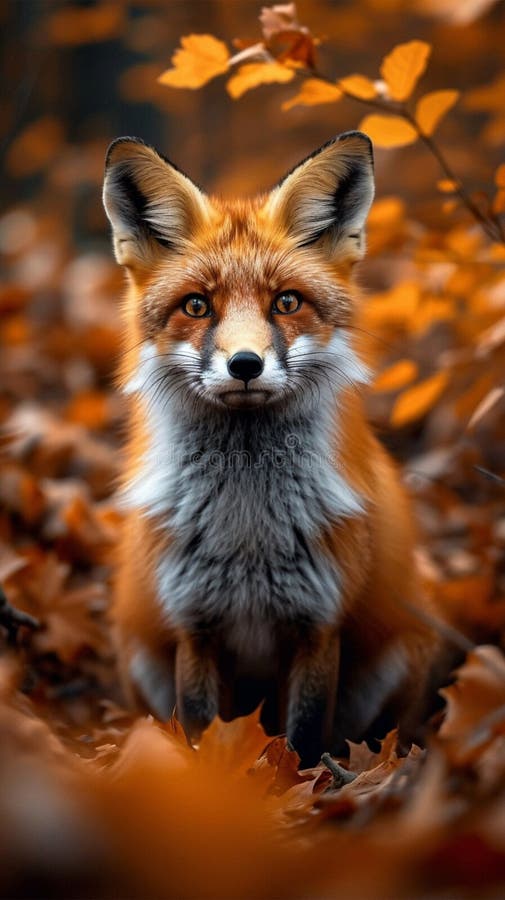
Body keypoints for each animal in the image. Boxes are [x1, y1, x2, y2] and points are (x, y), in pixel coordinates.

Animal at [103, 131, 443, 766]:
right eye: (197, 306)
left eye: (286, 302)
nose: (244, 364)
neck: (247, 535)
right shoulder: (194, 626)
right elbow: (201, 733)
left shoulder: (318, 626)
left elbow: (303, 742)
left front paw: (302, 784)